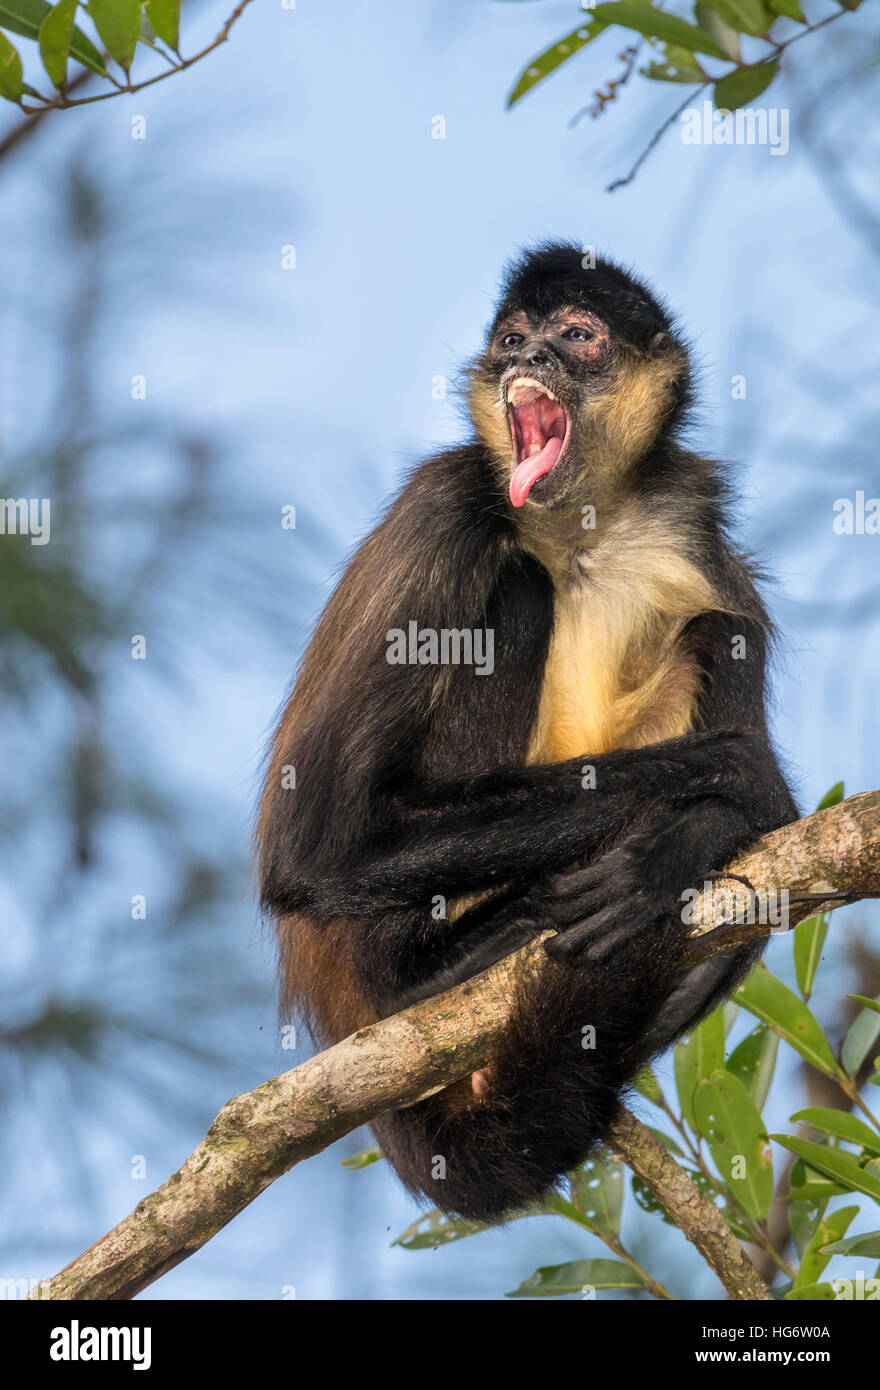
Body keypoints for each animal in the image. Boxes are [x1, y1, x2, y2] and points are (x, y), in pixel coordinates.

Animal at [257, 242, 797, 1223]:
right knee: (517, 589)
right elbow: (313, 848)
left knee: (712, 628)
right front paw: (736, 786)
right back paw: (436, 962)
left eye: (577, 337)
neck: (576, 527)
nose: (532, 360)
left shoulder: (699, 530)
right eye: (513, 339)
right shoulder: (447, 501)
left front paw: (683, 842)